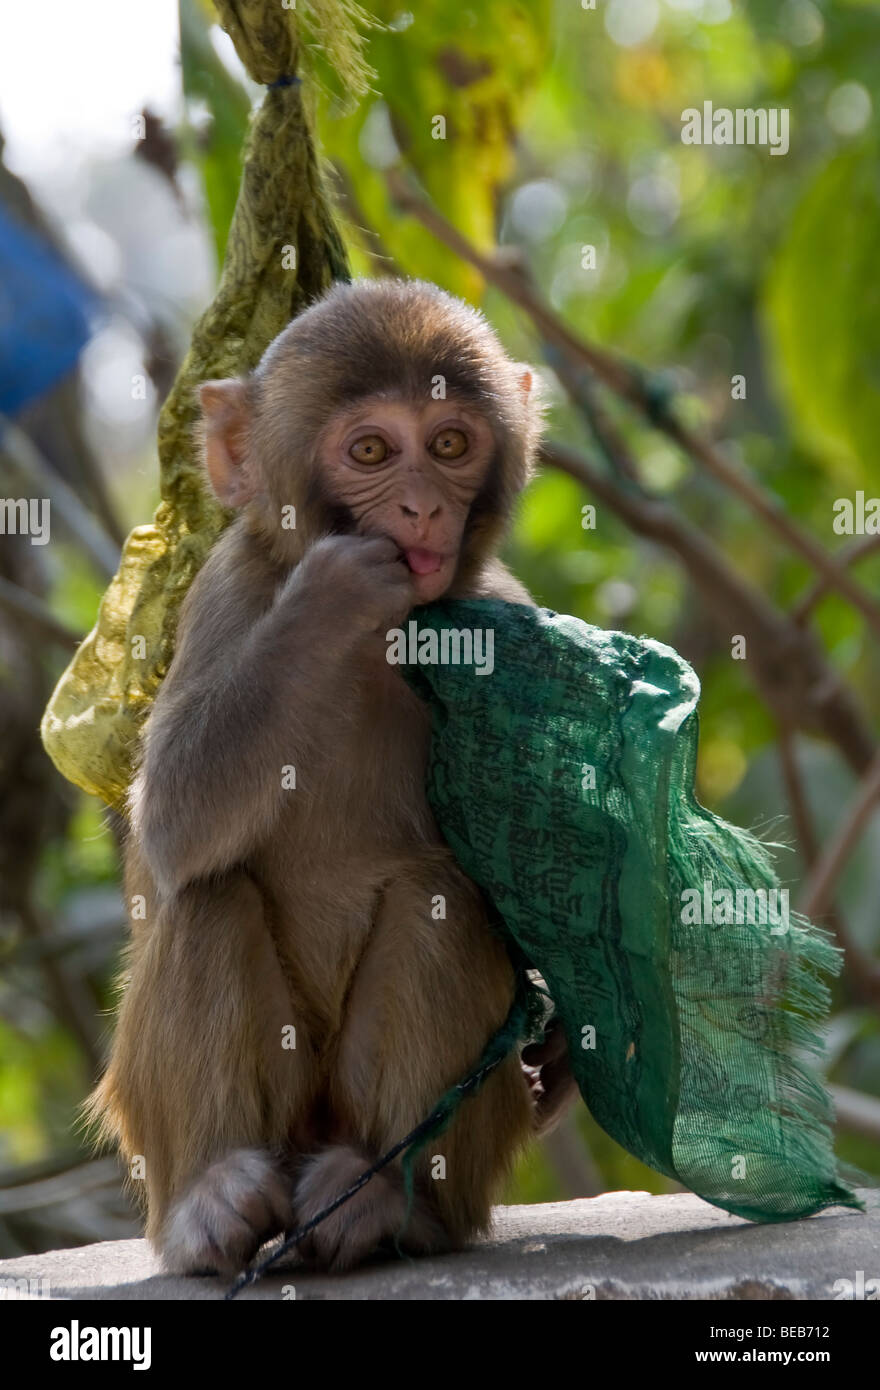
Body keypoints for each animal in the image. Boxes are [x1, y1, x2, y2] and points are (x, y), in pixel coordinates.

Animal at [89, 278, 577, 1275]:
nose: (423, 511)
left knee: (442, 899)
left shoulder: (503, 616)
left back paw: (386, 1205)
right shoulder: (226, 590)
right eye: (372, 451)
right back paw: (212, 1201)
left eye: (450, 444)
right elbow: (177, 814)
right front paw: (328, 597)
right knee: (207, 893)